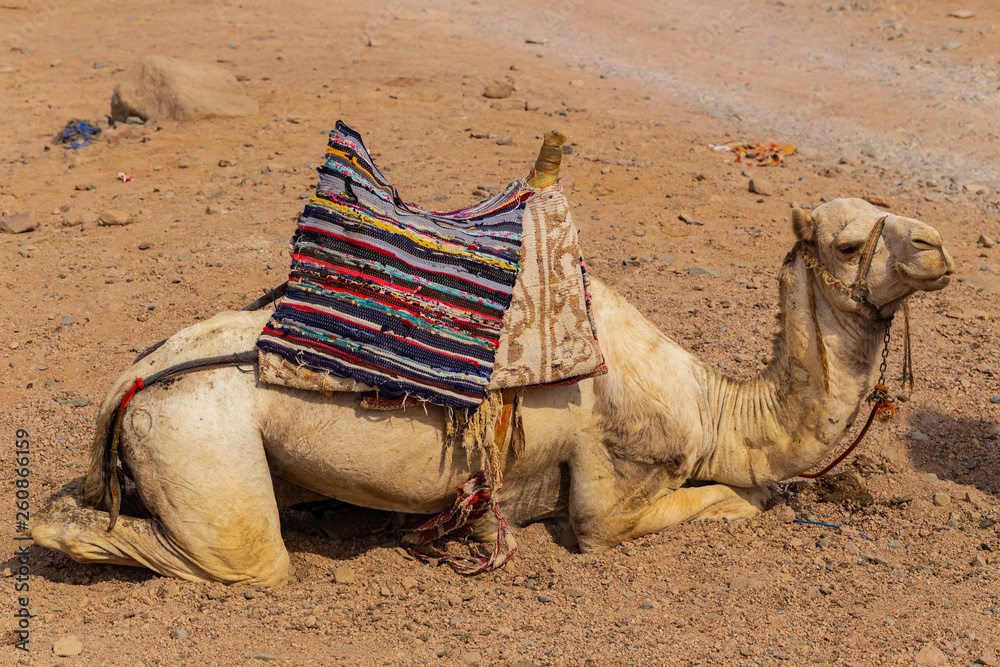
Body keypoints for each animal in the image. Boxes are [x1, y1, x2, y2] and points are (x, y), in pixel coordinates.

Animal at [31, 185, 953, 586]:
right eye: (846, 242)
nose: (939, 245)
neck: (714, 402)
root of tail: (129, 382)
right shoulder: (609, 503)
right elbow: (733, 502)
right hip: (201, 443)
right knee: (241, 556)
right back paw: (62, 530)